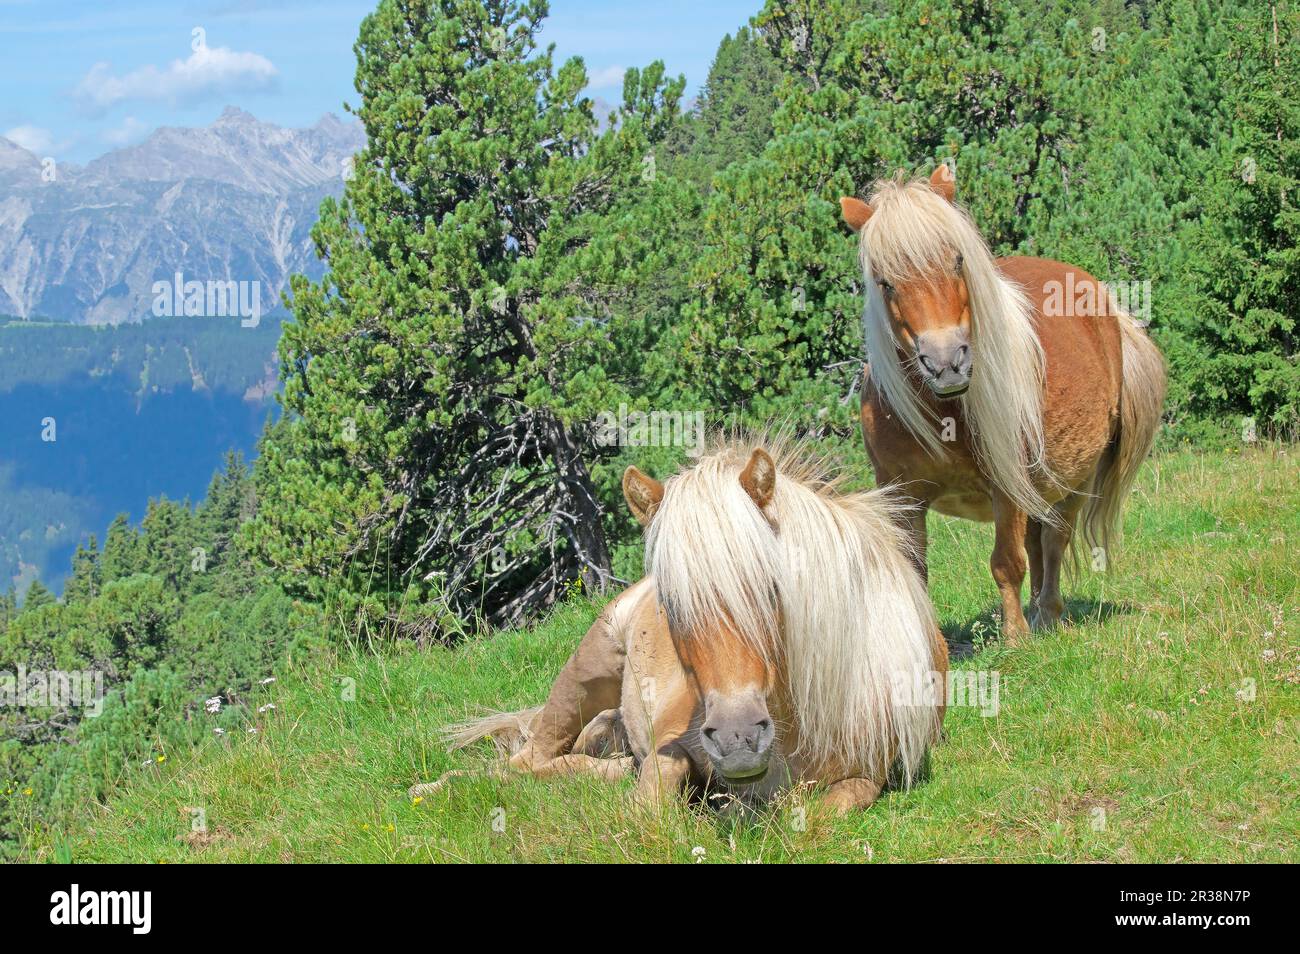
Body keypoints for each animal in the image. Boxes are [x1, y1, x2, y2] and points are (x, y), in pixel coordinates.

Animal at [420, 435, 949, 814]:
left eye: (772, 585)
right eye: (671, 604)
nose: (738, 738)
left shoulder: (866, 778)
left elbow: (820, 813)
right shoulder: (670, 749)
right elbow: (648, 812)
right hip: (581, 679)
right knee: (523, 762)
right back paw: (435, 788)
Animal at [839, 167, 1166, 641]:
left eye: (958, 261)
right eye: (886, 283)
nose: (947, 364)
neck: (944, 416)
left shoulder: (1006, 485)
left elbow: (1006, 563)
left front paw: (1016, 641)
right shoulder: (903, 496)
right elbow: (916, 572)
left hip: (1074, 479)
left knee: (1052, 541)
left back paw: (1045, 615)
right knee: (1037, 540)